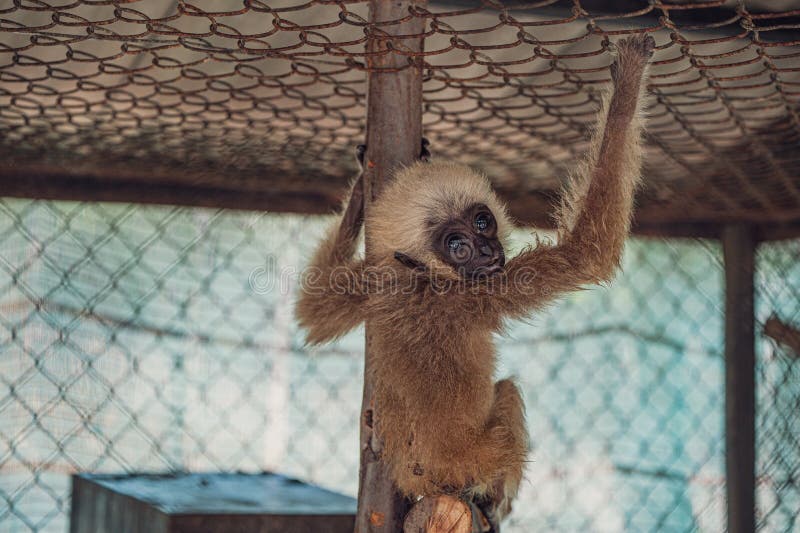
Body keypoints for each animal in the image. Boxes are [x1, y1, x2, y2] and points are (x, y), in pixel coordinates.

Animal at [295, 34, 655, 528]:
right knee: (507, 393)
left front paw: (363, 189)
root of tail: (425, 482)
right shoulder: (474, 295)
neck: (425, 277)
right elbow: (588, 253)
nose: (485, 252)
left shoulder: (377, 282)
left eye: (482, 223)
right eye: (457, 247)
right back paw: (489, 505)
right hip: (482, 457)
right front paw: (628, 82)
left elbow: (315, 310)